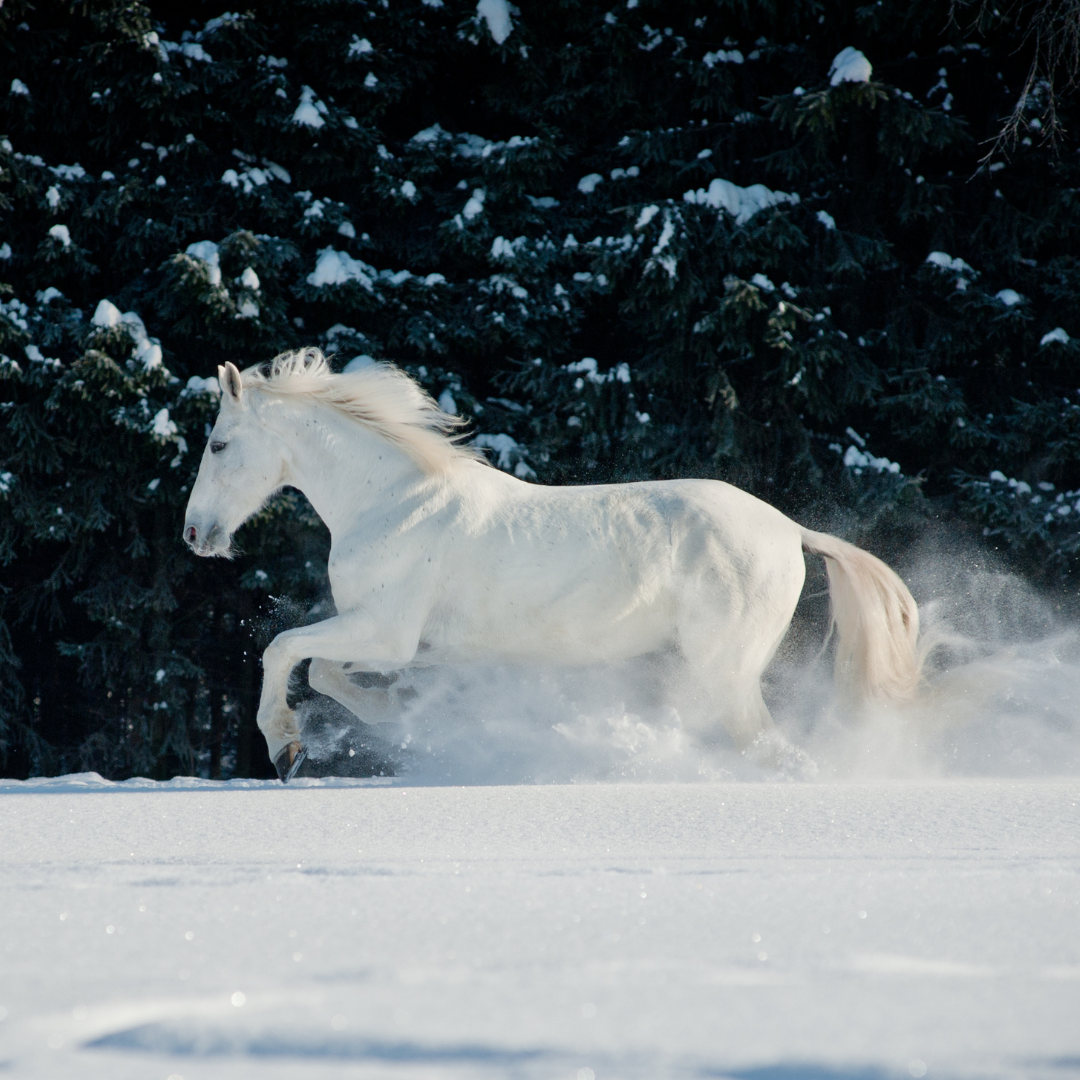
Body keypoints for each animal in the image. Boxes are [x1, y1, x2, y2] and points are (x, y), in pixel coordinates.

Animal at [183, 348, 921, 780]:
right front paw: (396, 714)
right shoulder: (384, 638)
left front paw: (285, 747)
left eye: (218, 444)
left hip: (727, 669)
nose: (194, 534)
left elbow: (283, 649)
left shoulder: (386, 631)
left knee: (766, 746)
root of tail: (791, 530)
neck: (394, 502)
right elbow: (326, 672)